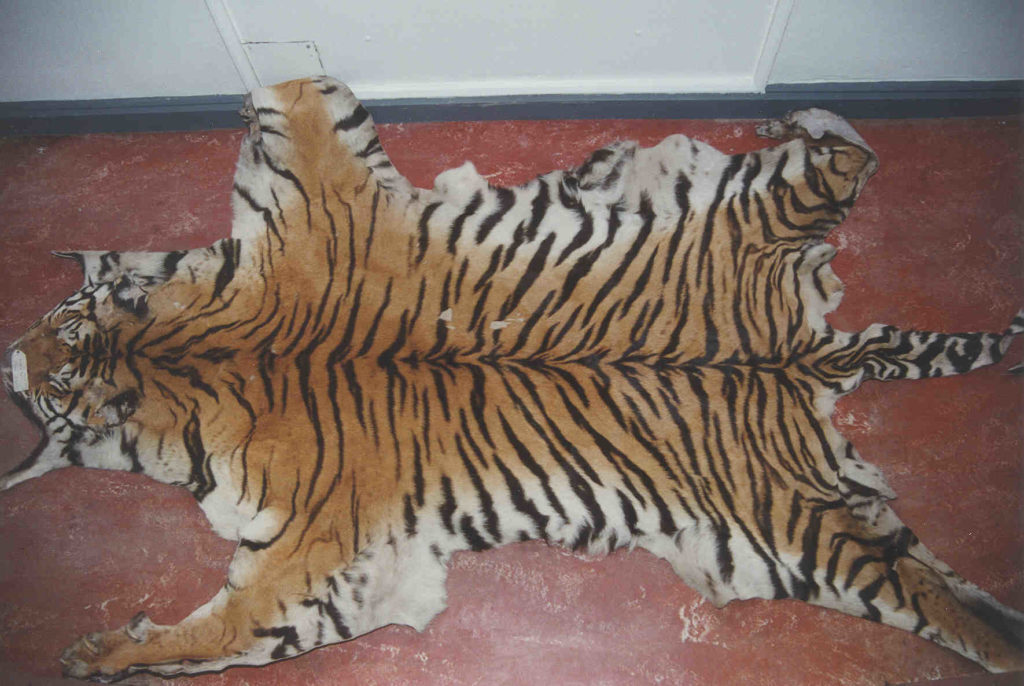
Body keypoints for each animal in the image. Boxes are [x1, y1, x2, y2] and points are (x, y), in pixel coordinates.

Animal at [1, 76, 1022, 681]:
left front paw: (99, 653)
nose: (15, 355)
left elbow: (222, 633)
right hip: (818, 516)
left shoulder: (319, 563)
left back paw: (786, 114)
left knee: (852, 151)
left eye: (60, 354)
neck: (180, 356)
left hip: (777, 248)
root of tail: (814, 353)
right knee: (969, 608)